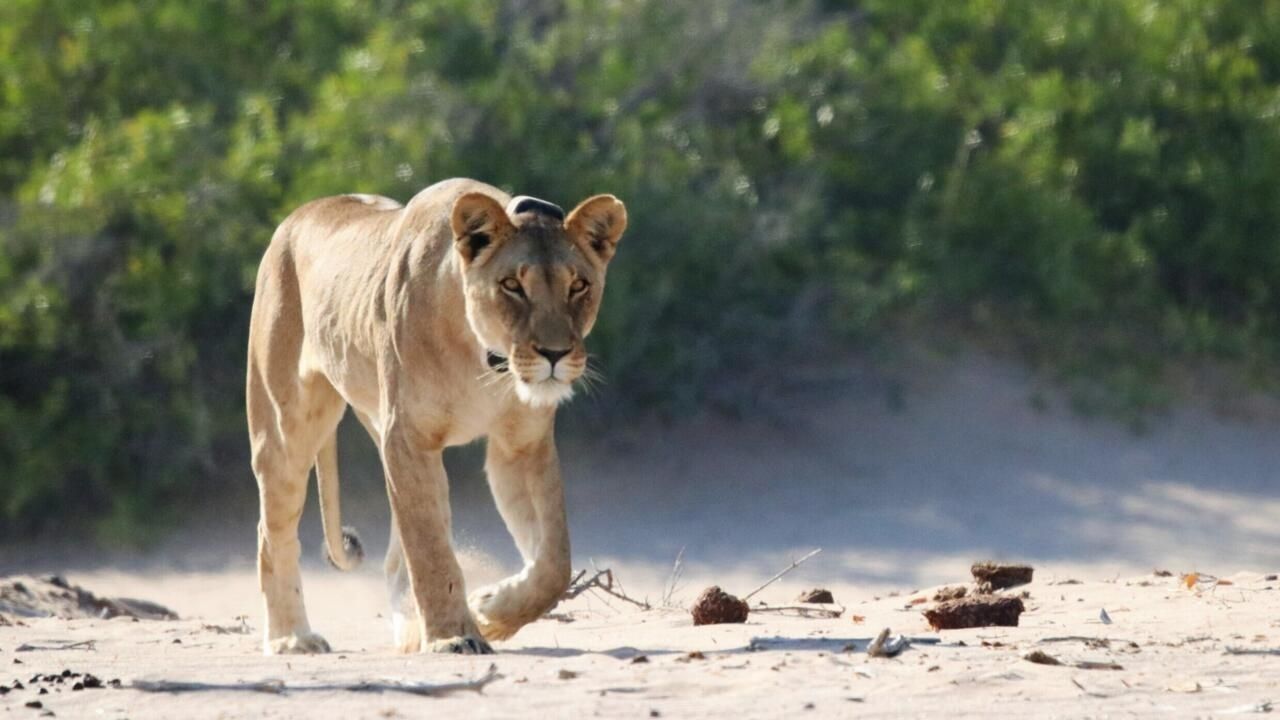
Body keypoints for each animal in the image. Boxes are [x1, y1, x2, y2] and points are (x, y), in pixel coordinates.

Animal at [245, 178, 626, 655]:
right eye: (511, 285)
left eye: (578, 285)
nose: (554, 354)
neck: (484, 359)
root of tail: (297, 216)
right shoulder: (408, 438)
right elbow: (429, 549)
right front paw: (452, 635)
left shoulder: (521, 445)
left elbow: (554, 562)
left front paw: (490, 611)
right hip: (286, 423)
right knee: (272, 532)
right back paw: (291, 637)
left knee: (395, 558)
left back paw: (410, 627)